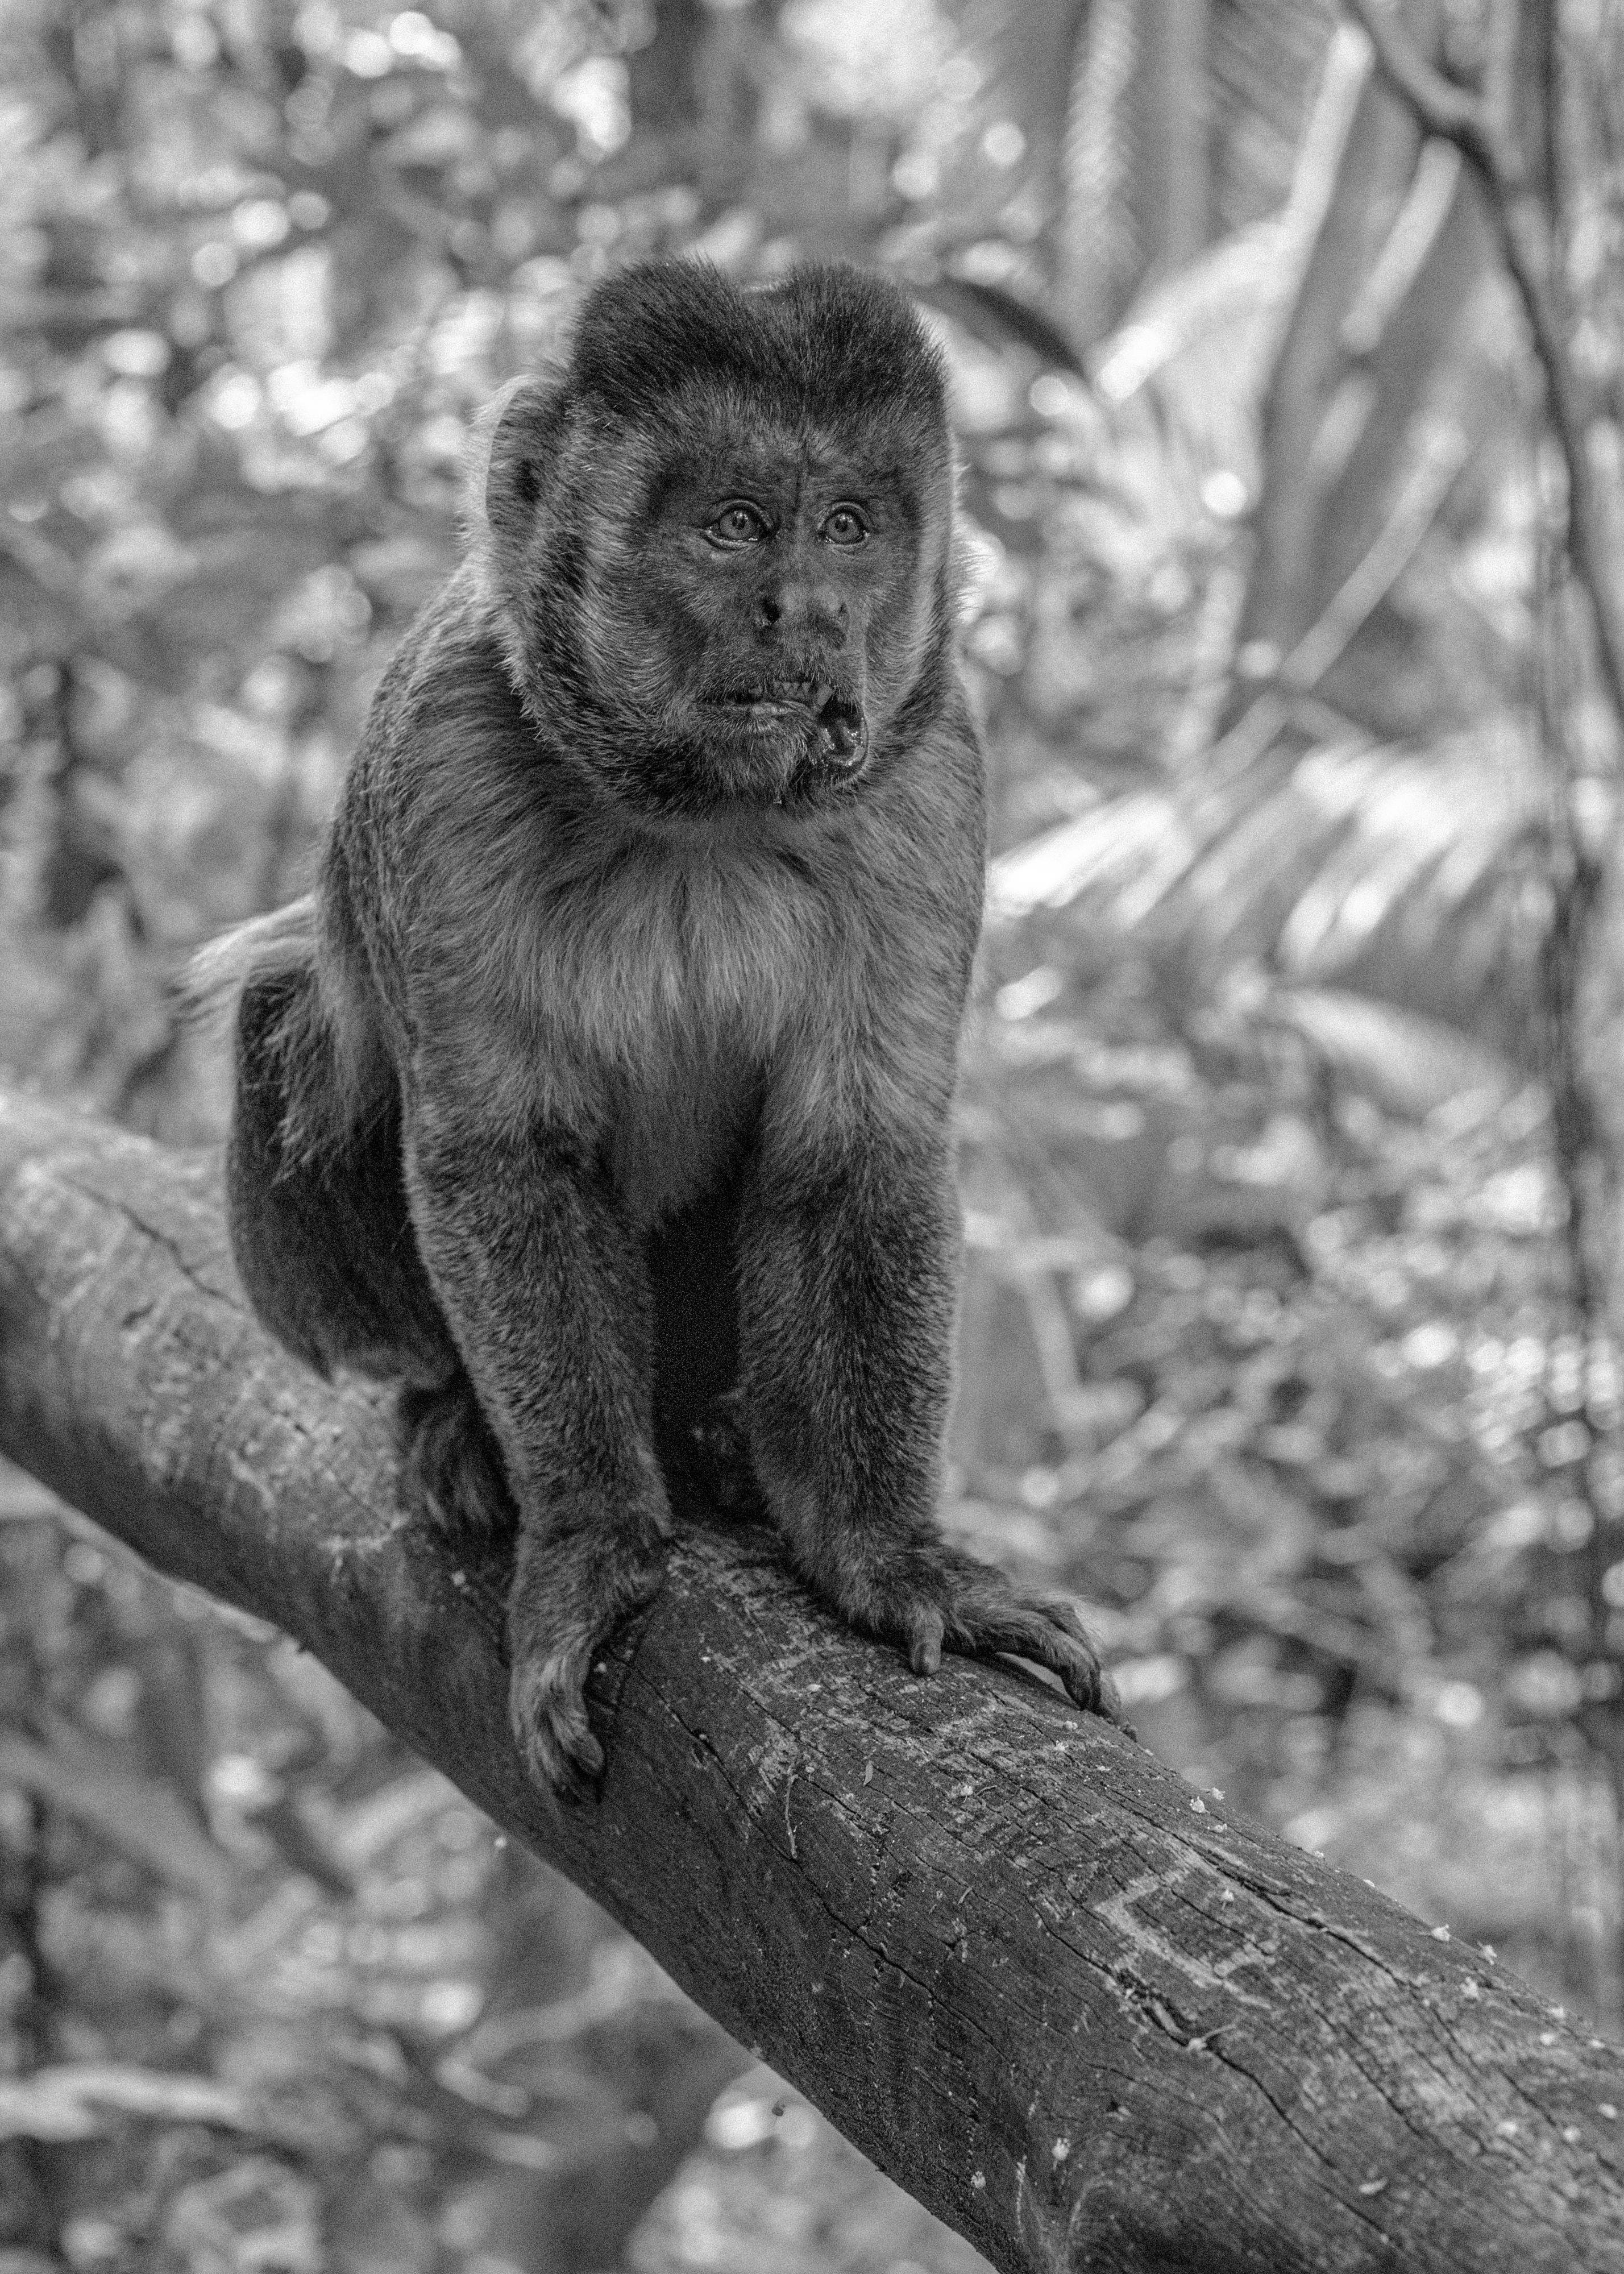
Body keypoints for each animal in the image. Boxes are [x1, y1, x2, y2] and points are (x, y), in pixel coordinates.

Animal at [188, 259, 1128, 1795]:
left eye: (848, 526)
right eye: (734, 524)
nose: (808, 610)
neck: (704, 817)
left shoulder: (932, 770)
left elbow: (853, 1159)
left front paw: (881, 1551)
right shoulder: (441, 750)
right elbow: (501, 1155)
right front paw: (592, 1539)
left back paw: (737, 1444)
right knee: (291, 1020)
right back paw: (458, 1418)